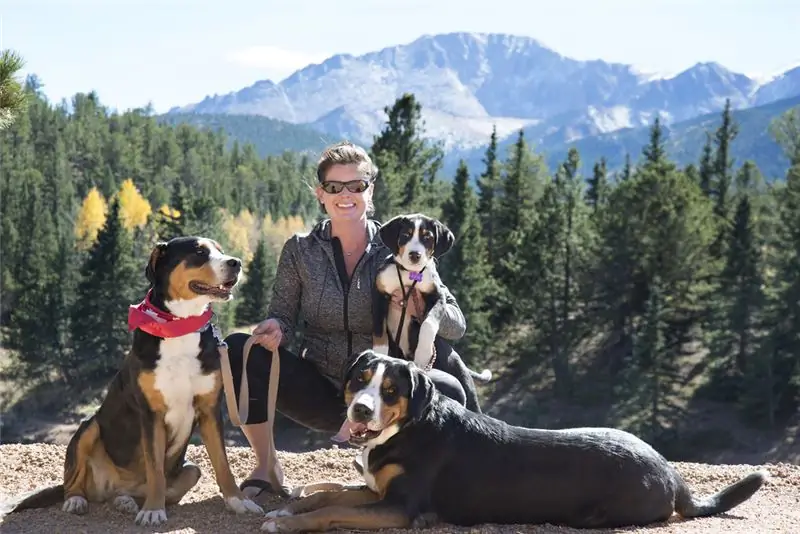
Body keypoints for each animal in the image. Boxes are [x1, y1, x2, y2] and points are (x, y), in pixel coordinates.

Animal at [260, 350, 768, 532]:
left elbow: (330, 510)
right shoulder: (378, 490)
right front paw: (286, 509)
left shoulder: (400, 508)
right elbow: (324, 494)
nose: (360, 411)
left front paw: (286, 524)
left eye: (390, 391)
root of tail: (671, 472)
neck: (410, 428)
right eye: (360, 380)